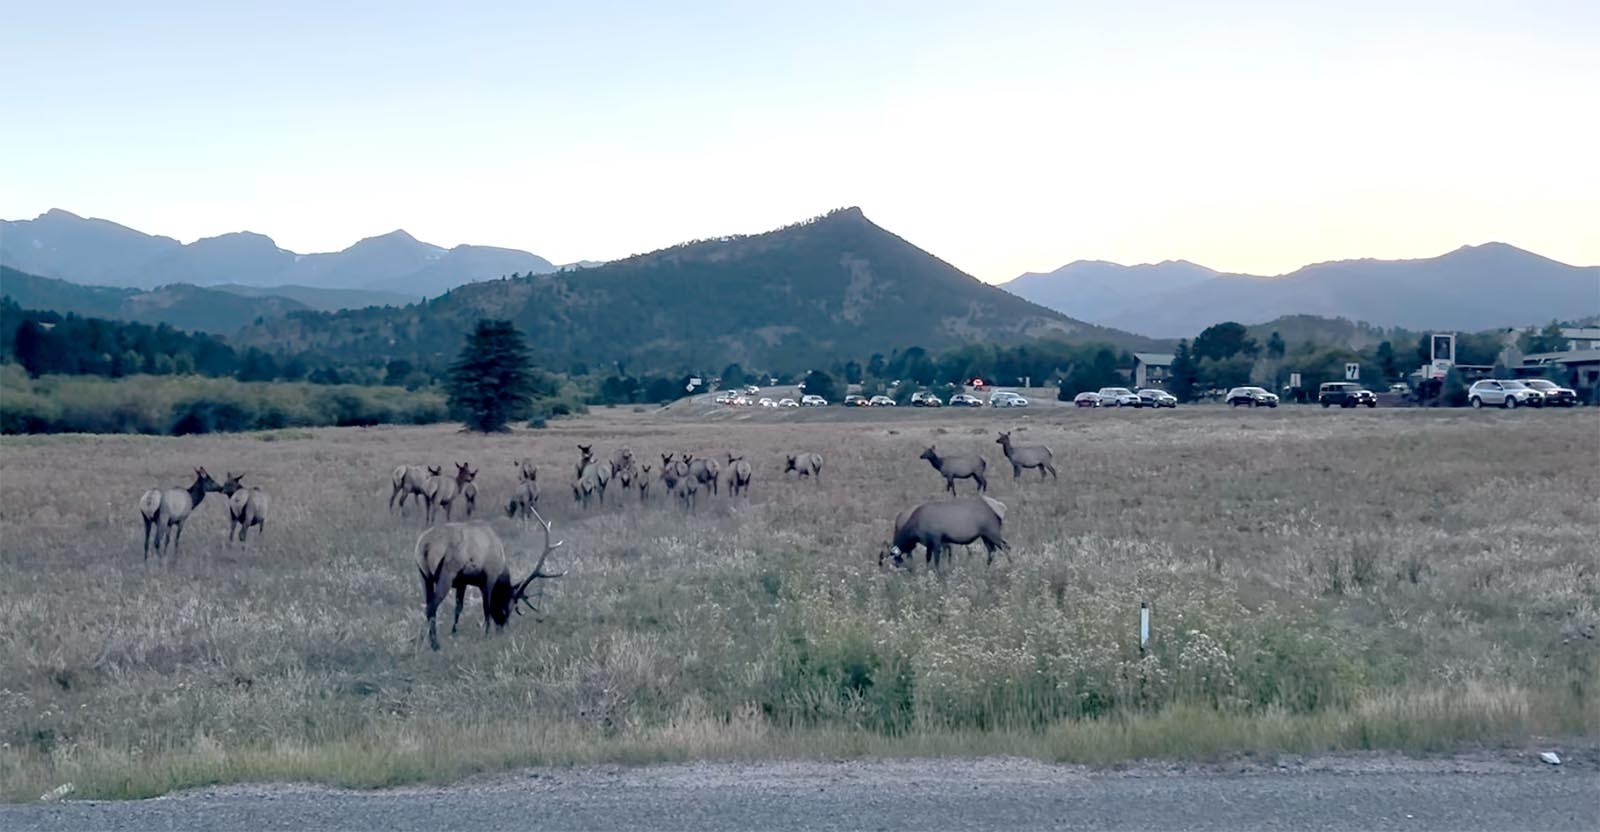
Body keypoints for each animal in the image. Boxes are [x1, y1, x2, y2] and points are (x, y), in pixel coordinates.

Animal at [414, 511, 564, 651]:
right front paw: (486, 634)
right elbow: (487, 607)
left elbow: (459, 607)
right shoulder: (489, 577)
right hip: (447, 574)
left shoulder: (463, 582)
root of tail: (426, 545)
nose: (503, 628)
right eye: (507, 607)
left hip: (424, 576)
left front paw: (454, 632)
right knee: (431, 607)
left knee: (428, 605)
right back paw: (435, 644)